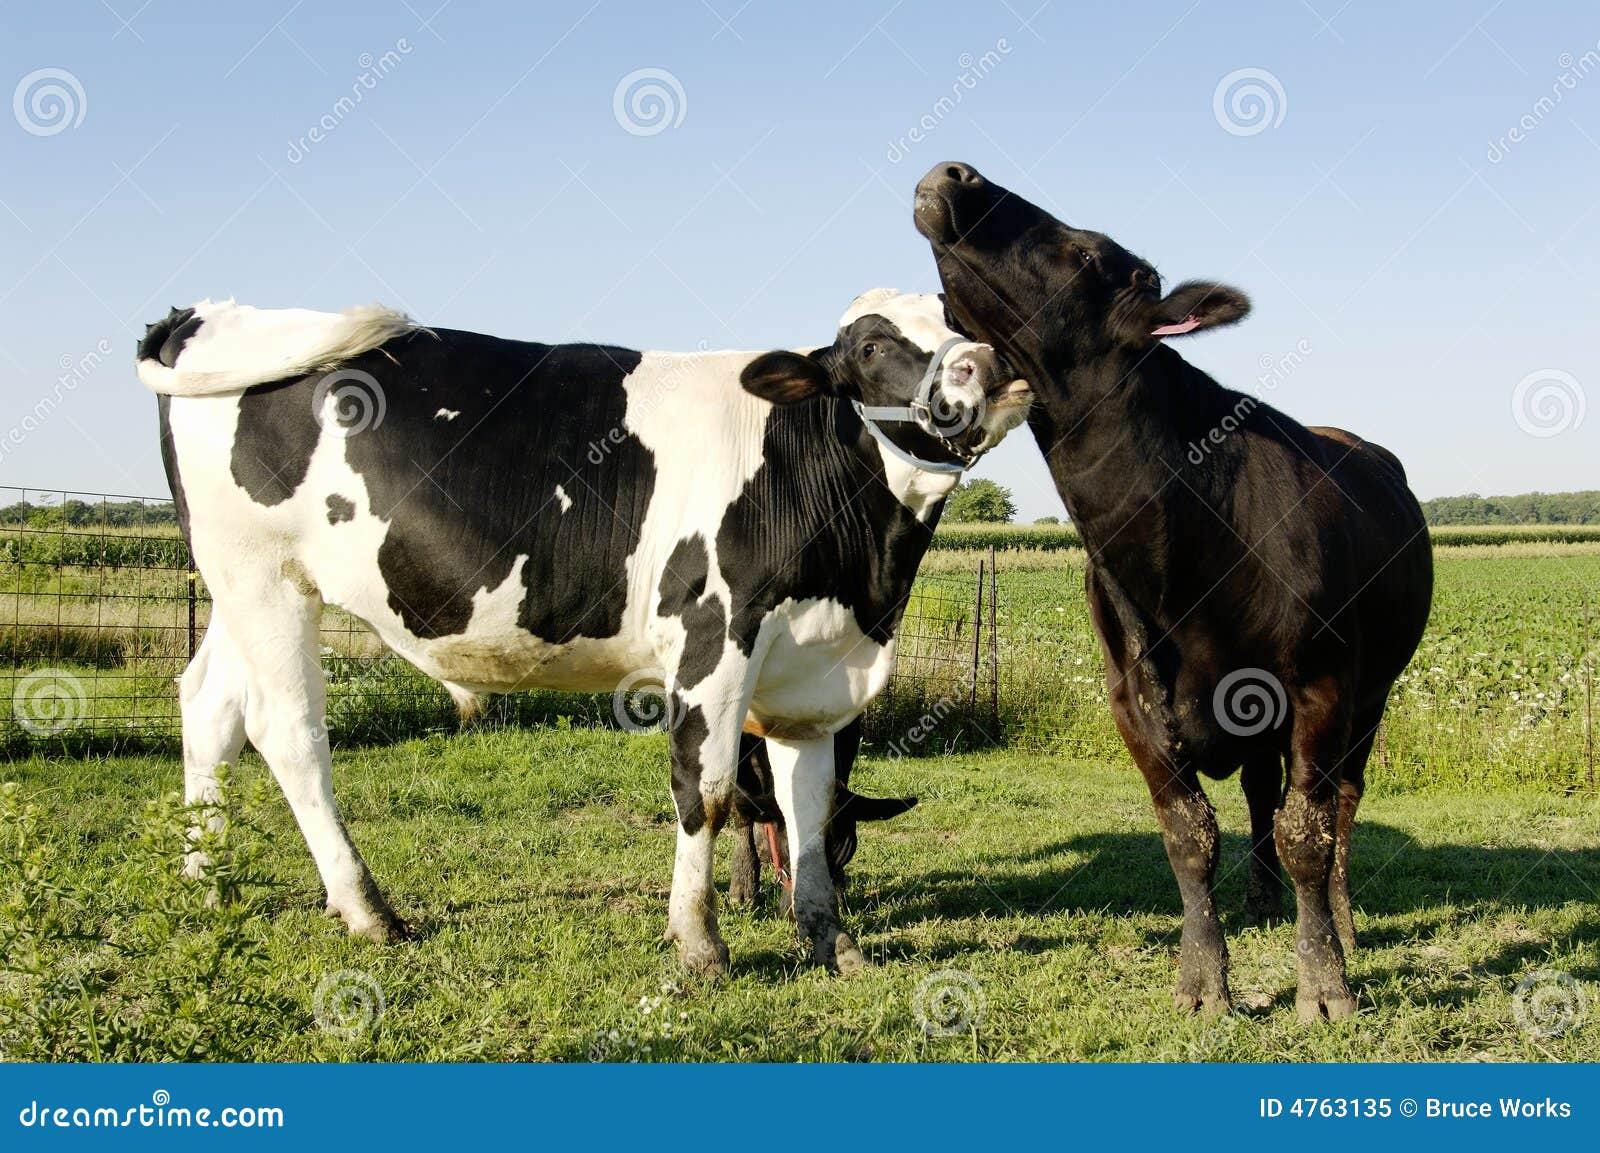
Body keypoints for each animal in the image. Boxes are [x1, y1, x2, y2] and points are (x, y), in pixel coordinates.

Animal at [139, 287, 1031, 975]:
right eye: (875, 344)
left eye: (952, 314)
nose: (987, 367)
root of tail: (207, 312)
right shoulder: (713, 638)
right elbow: (707, 792)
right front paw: (700, 943)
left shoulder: (811, 671)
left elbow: (803, 807)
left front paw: (830, 943)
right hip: (264, 578)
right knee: (287, 732)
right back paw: (366, 909)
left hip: (238, 590)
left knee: (208, 706)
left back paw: (204, 880)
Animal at [913, 162, 1432, 1020]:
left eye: (1090, 254)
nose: (955, 172)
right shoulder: (1132, 697)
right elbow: (1191, 834)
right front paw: (1202, 980)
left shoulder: (1321, 681)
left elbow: (1308, 831)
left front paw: (1324, 981)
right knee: (1259, 790)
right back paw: (1261, 901)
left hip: (1372, 692)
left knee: (1341, 803)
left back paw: (1344, 921)